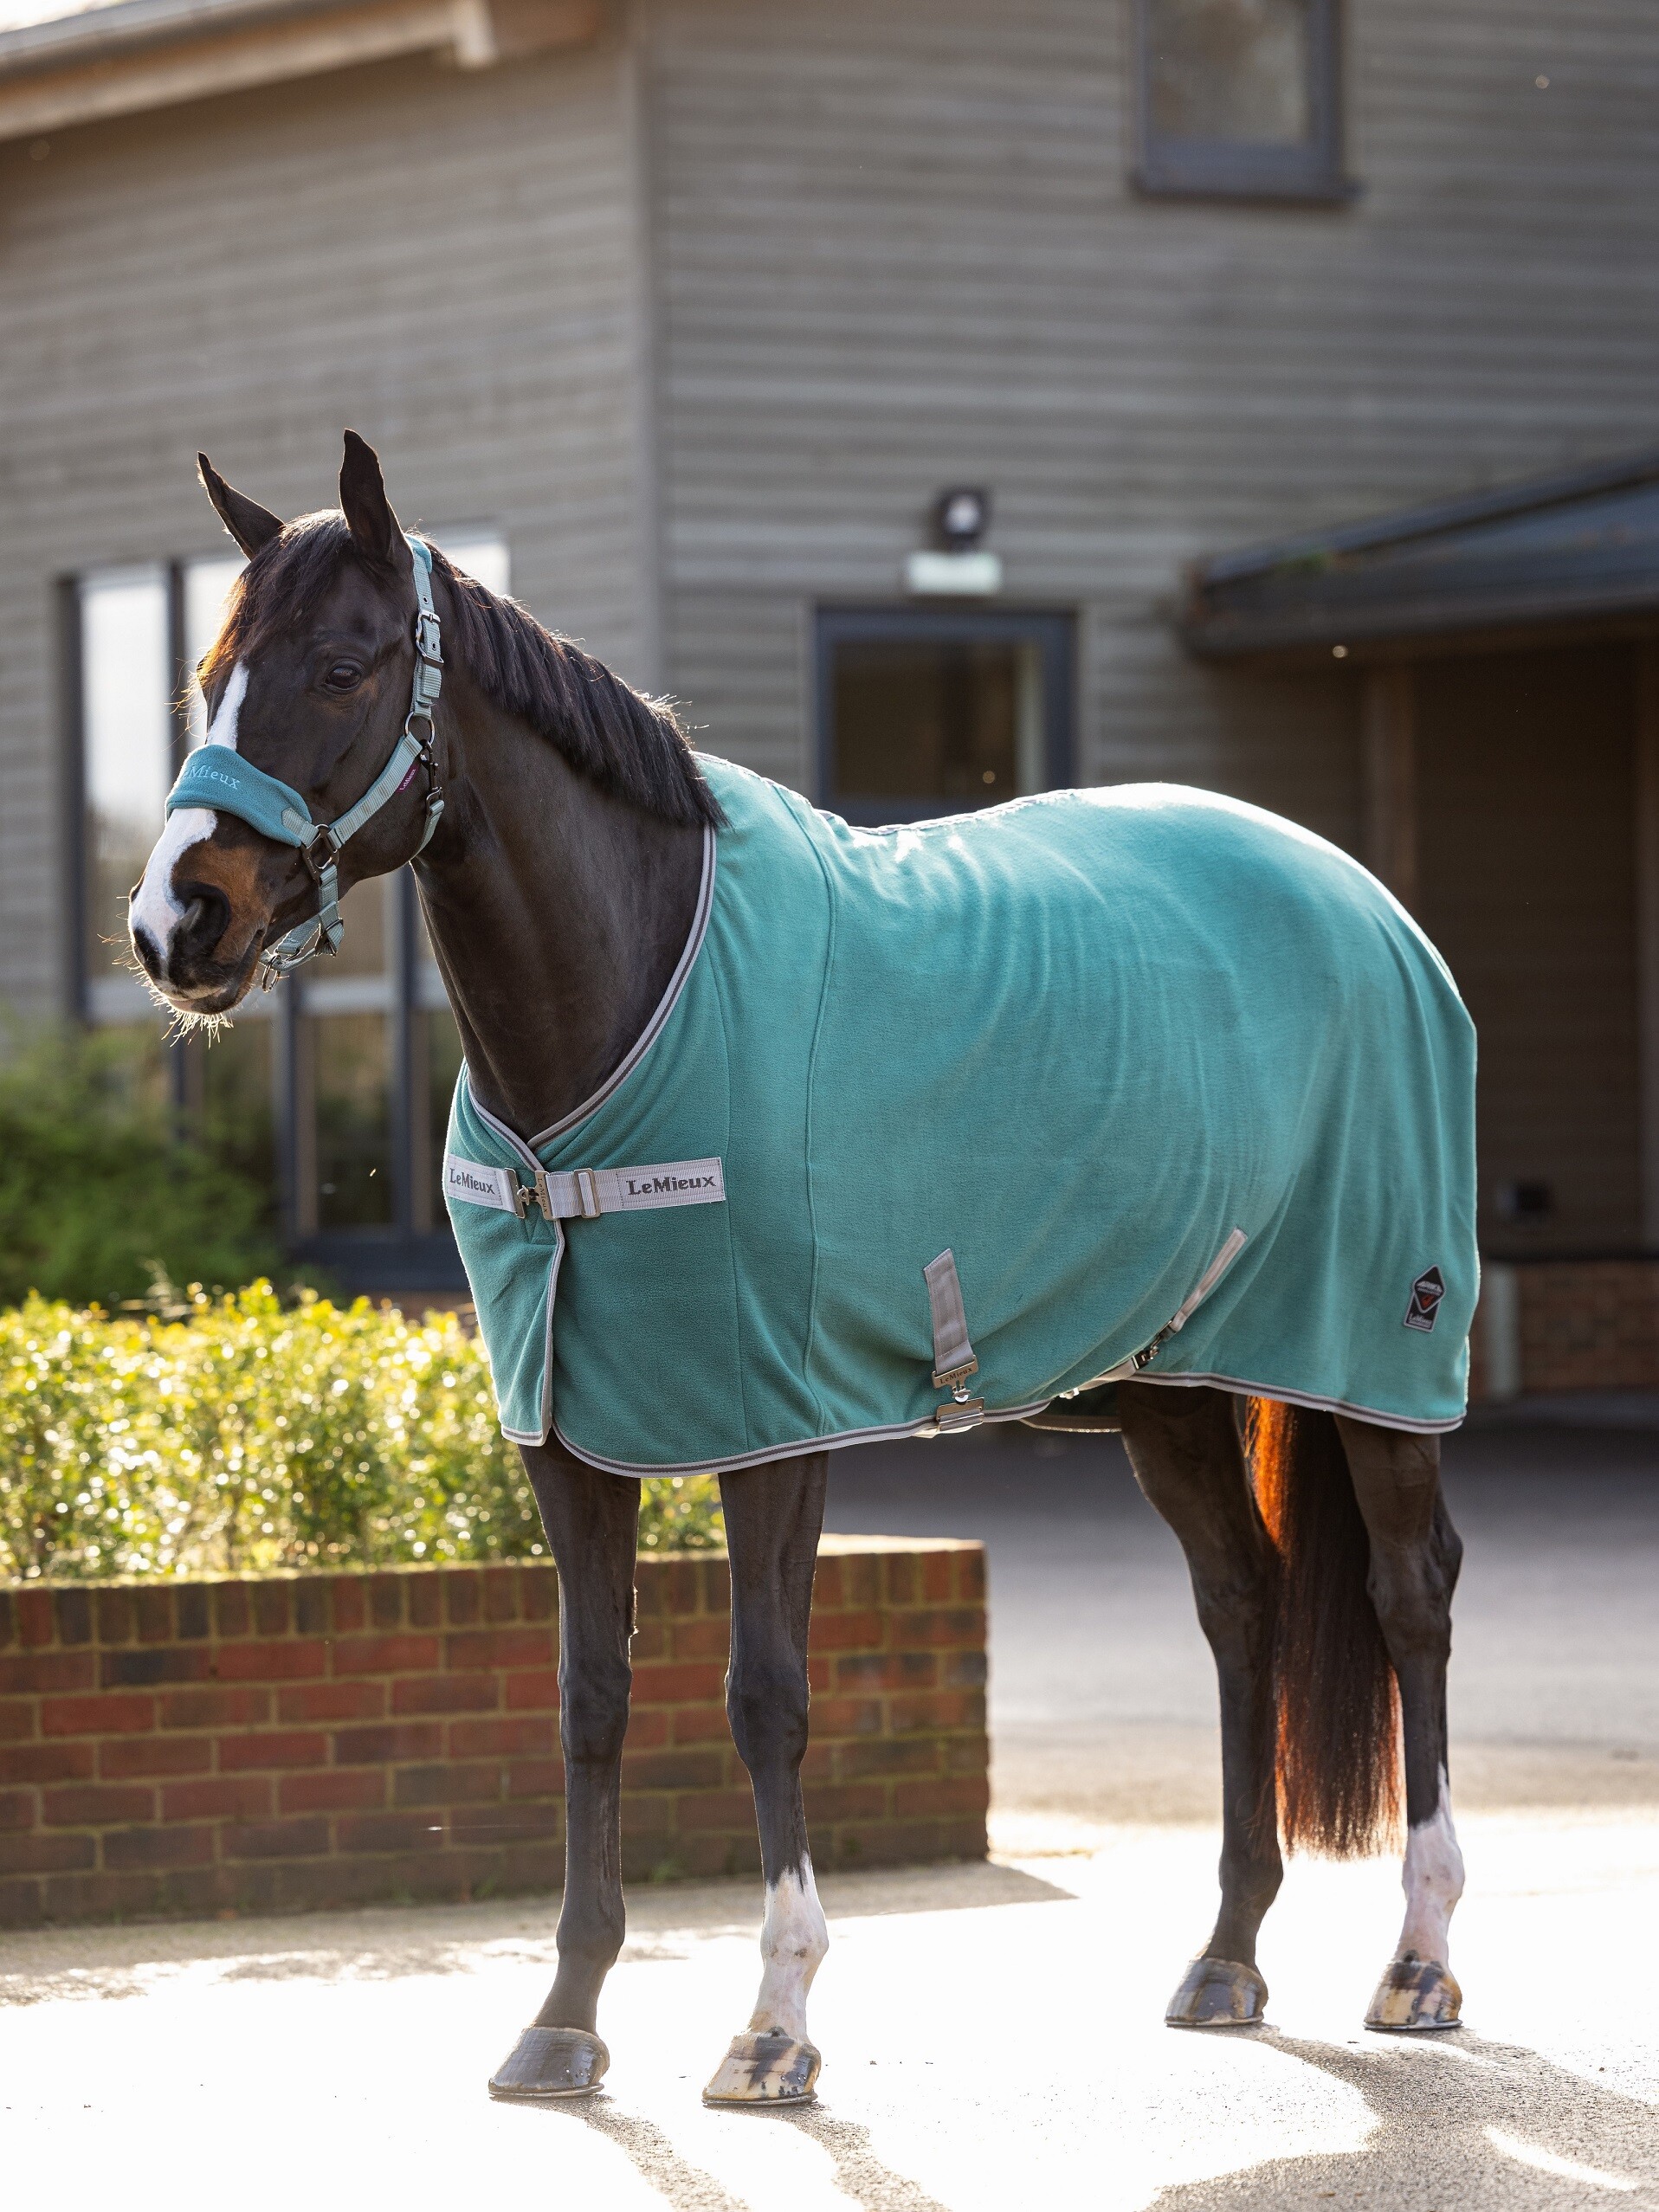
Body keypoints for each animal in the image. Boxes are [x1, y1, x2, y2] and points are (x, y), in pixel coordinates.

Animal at [131, 432, 1469, 2106]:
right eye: (206, 677)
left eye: (343, 664)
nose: (177, 922)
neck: (637, 993)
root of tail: (1368, 901)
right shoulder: (565, 1436)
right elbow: (588, 1700)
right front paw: (564, 2016)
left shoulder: (774, 1427)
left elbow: (763, 1697)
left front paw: (773, 2022)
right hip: (1170, 1383)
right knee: (1245, 1601)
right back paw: (1226, 1954)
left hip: (1377, 1358)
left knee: (1413, 1597)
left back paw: (1419, 1958)